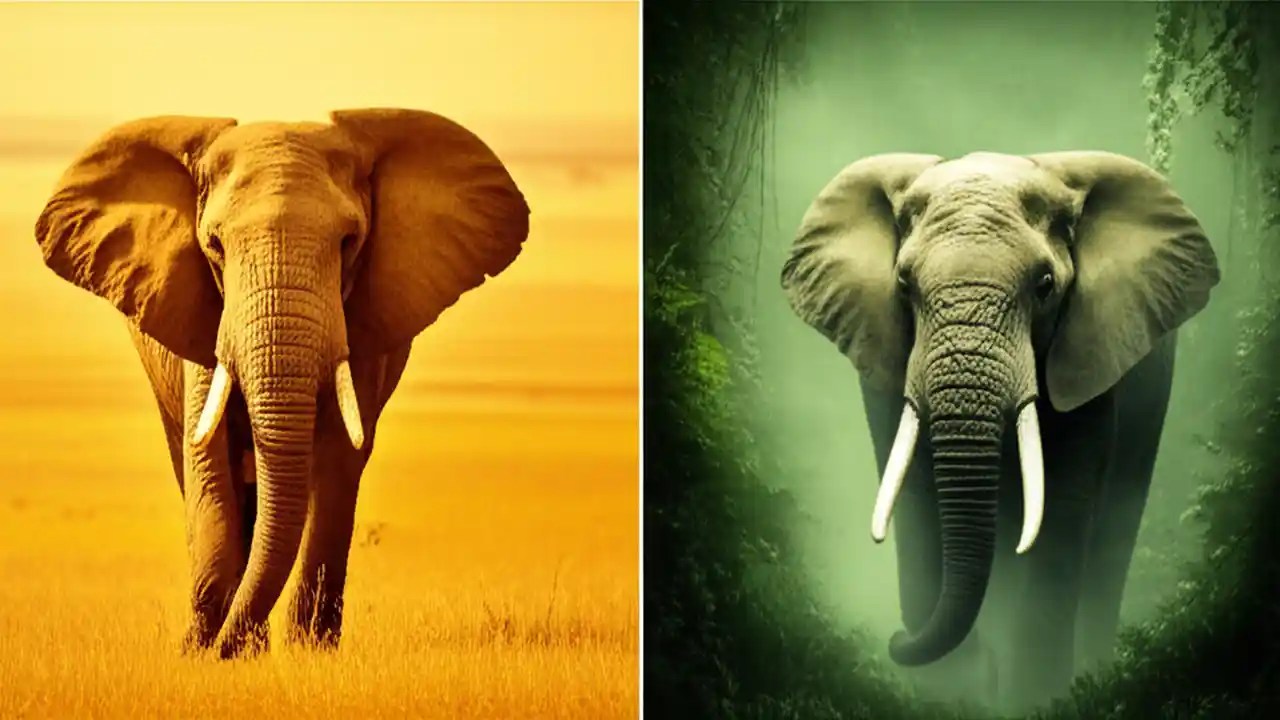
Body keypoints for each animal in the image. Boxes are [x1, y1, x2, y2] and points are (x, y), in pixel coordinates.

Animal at [33, 109, 530, 659]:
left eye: (349, 242)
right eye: (214, 245)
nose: (217, 648)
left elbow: (337, 460)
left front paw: (307, 654)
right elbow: (210, 462)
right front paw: (208, 654)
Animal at [780, 151, 1218, 710]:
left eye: (1045, 285)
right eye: (902, 285)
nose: (897, 640)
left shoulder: (1091, 358)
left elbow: (1060, 514)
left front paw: (1033, 699)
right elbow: (917, 501)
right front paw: (948, 692)